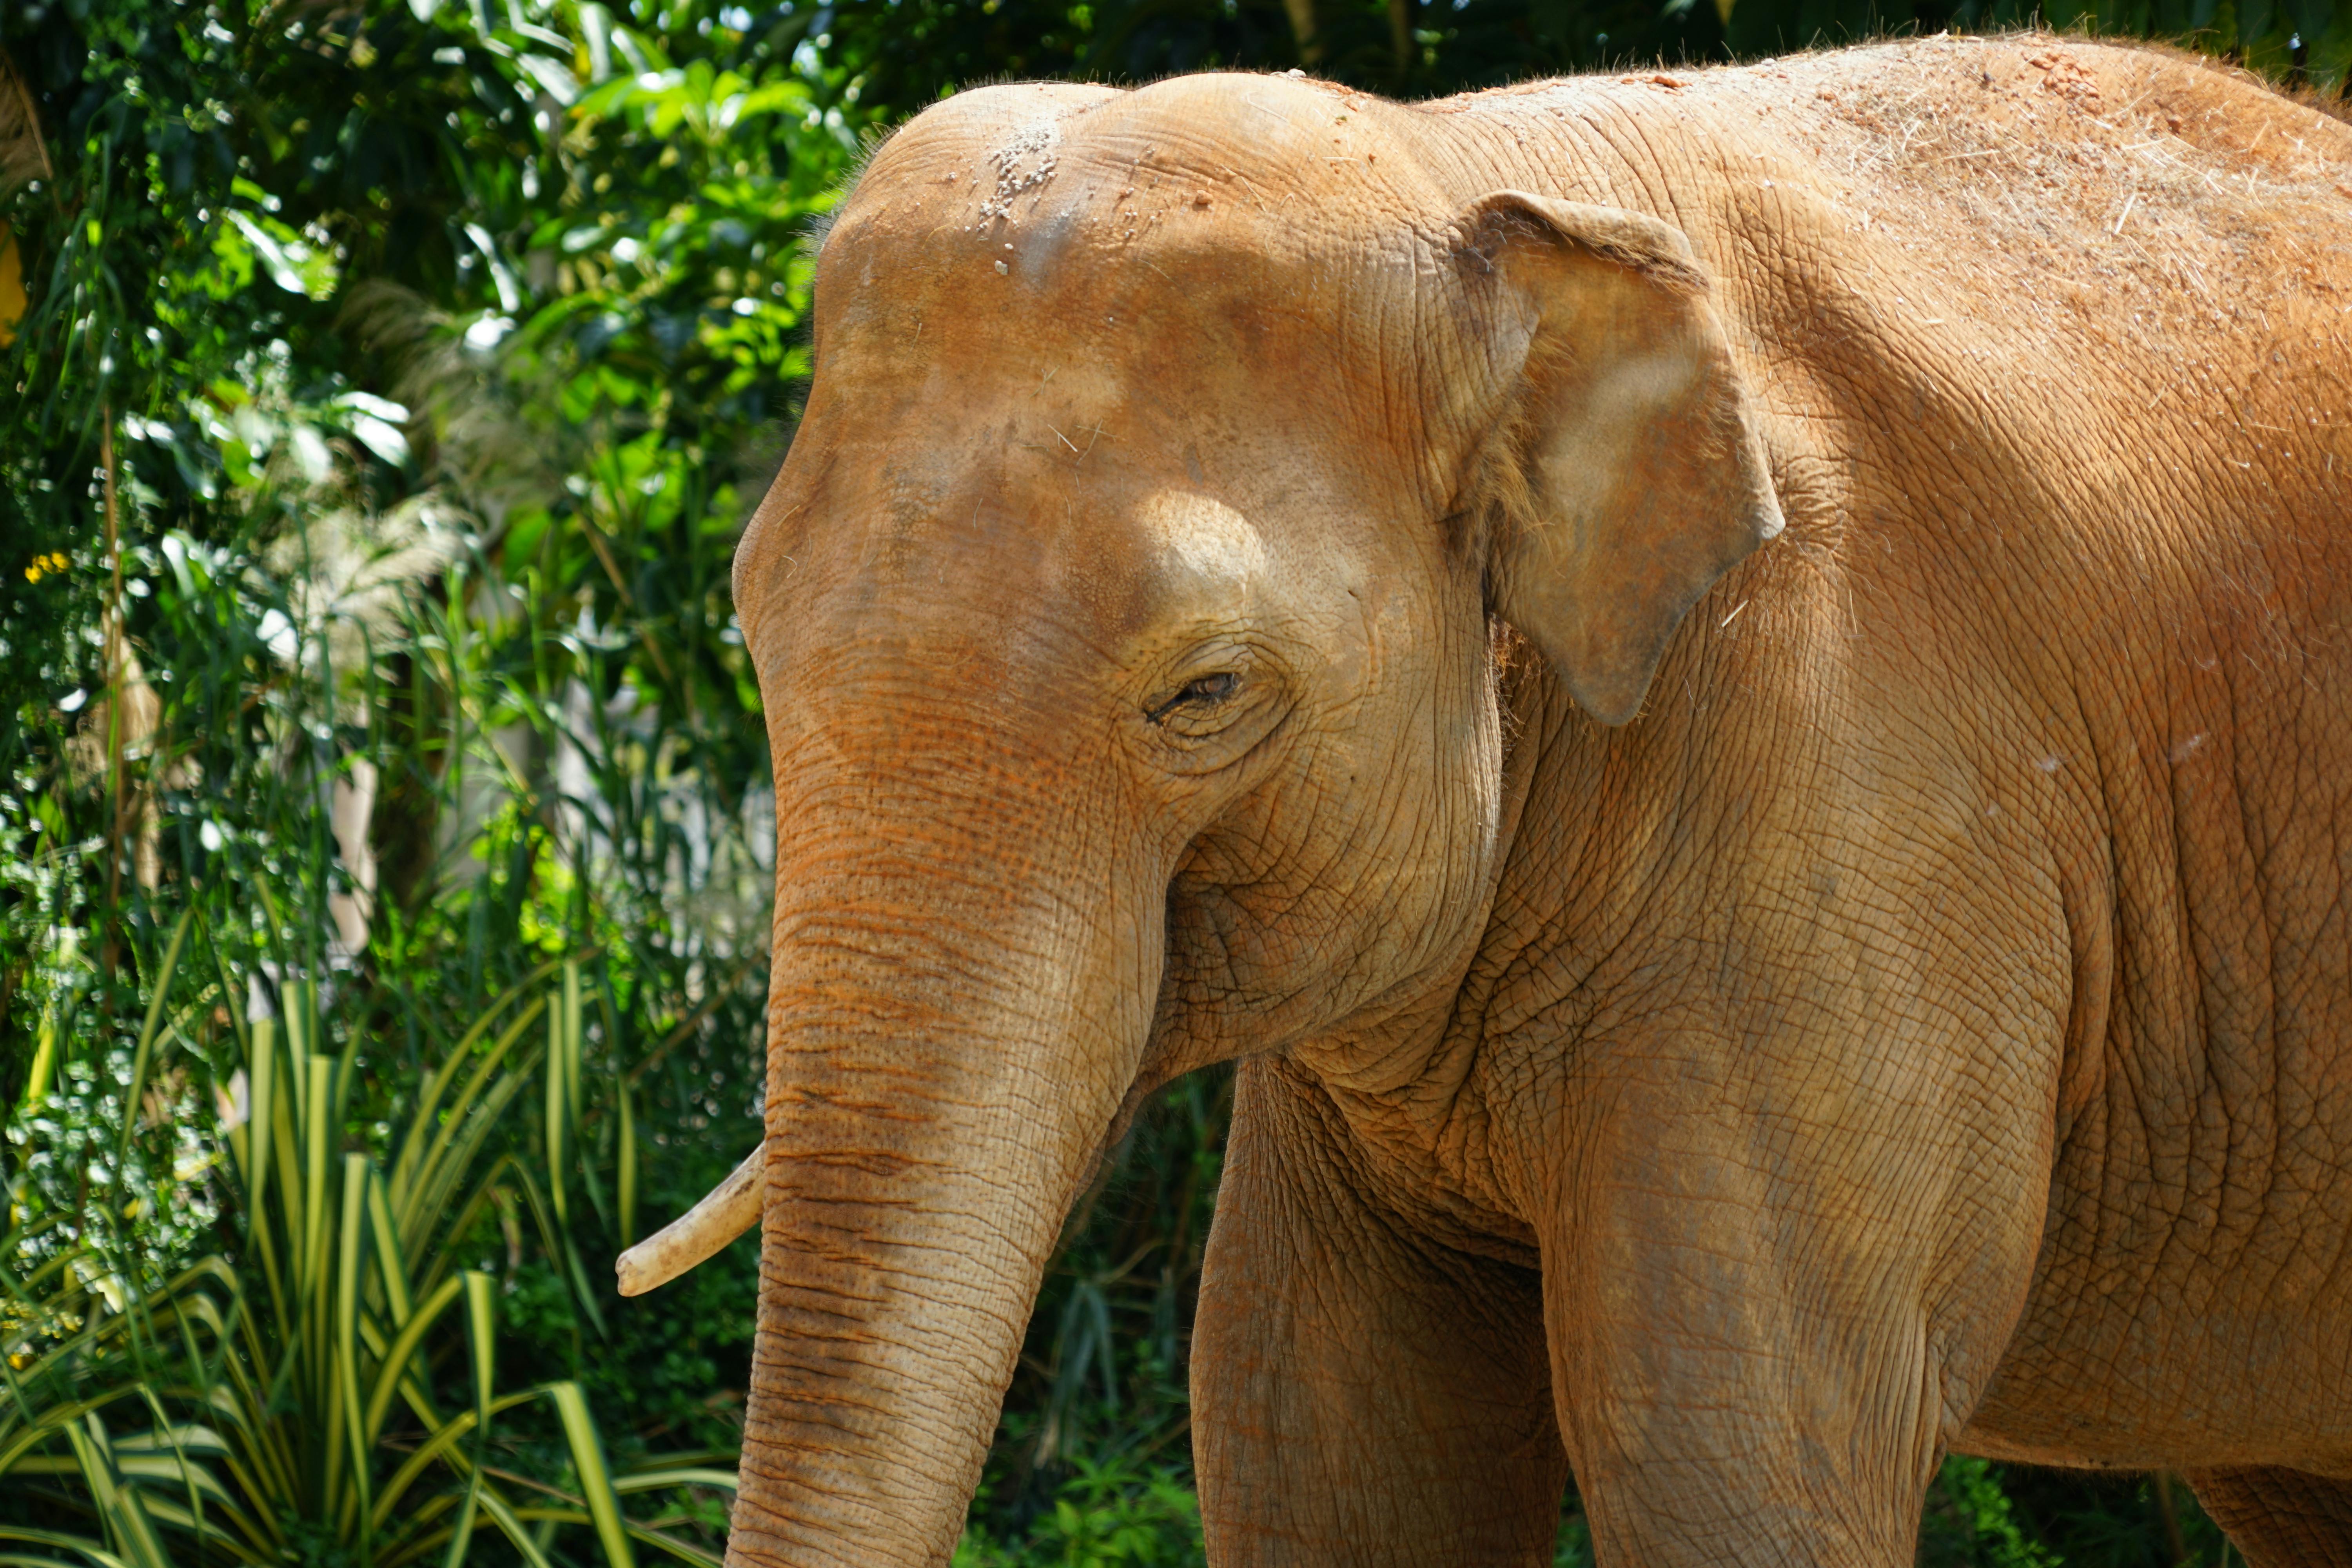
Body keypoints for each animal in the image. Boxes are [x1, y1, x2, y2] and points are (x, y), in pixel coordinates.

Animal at [615, 33, 2352, 1567]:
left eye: (1207, 693)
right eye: (753, 620)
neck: (1477, 179)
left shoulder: (1867, 786)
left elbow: (1732, 1455)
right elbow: (1331, 1443)